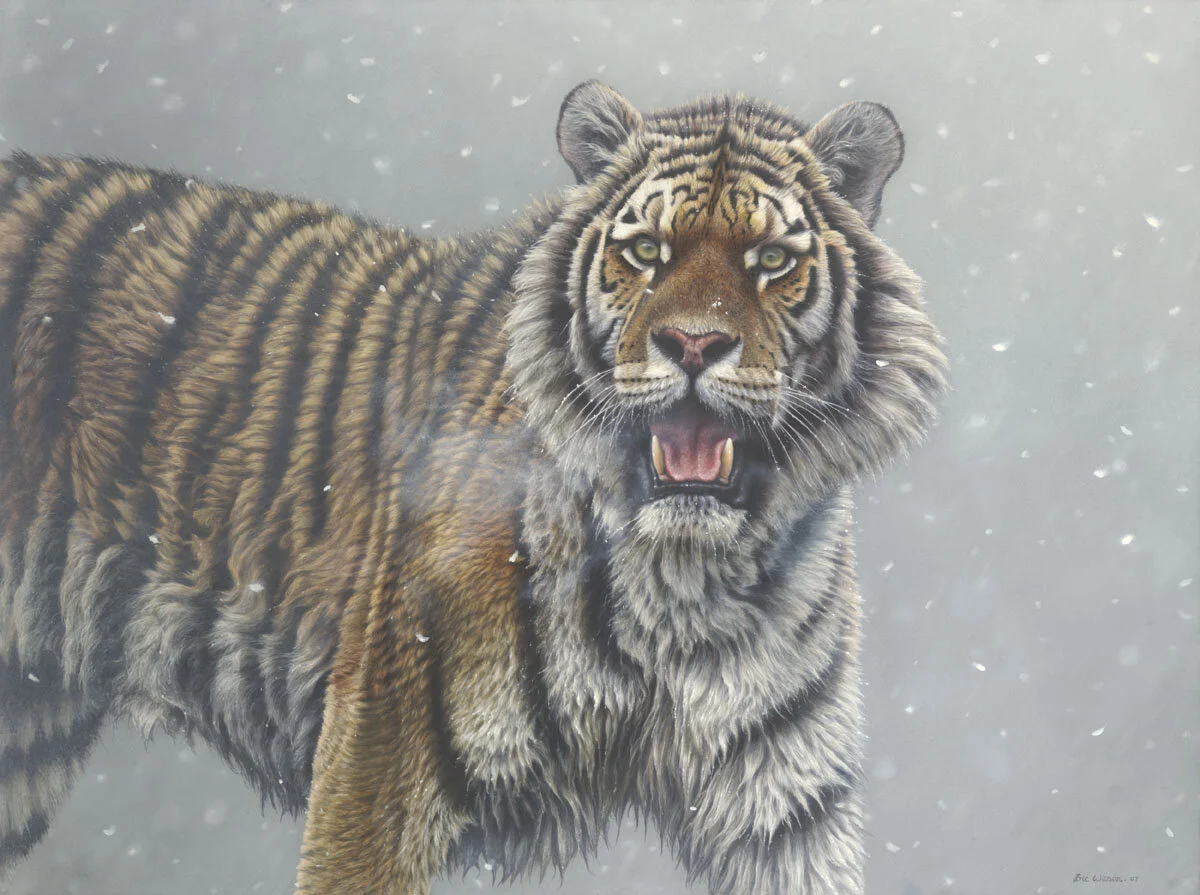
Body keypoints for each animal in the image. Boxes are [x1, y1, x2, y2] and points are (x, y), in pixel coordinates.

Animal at [0, 81, 947, 893]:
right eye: (646, 251)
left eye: (771, 260)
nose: (692, 344)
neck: (686, 575)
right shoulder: (376, 761)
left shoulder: (784, 804)